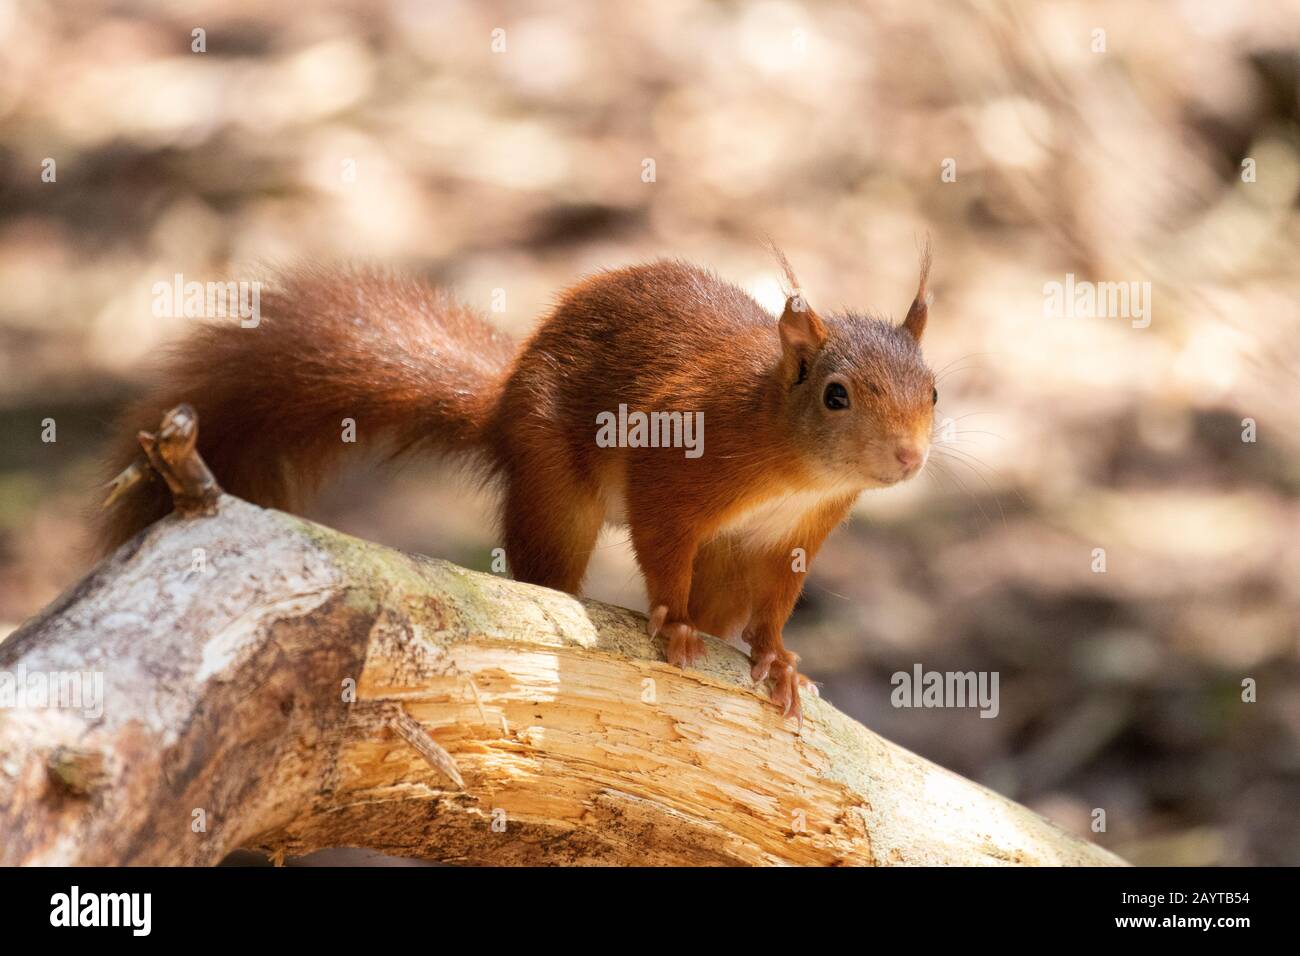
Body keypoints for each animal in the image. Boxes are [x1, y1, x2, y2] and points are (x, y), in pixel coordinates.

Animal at [99, 248, 937, 725]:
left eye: (933, 389)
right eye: (835, 395)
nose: (908, 457)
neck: (796, 475)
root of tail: (499, 404)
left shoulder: (797, 535)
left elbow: (776, 606)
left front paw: (782, 661)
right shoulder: (679, 465)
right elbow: (661, 540)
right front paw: (671, 625)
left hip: (722, 564)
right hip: (553, 487)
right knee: (547, 564)